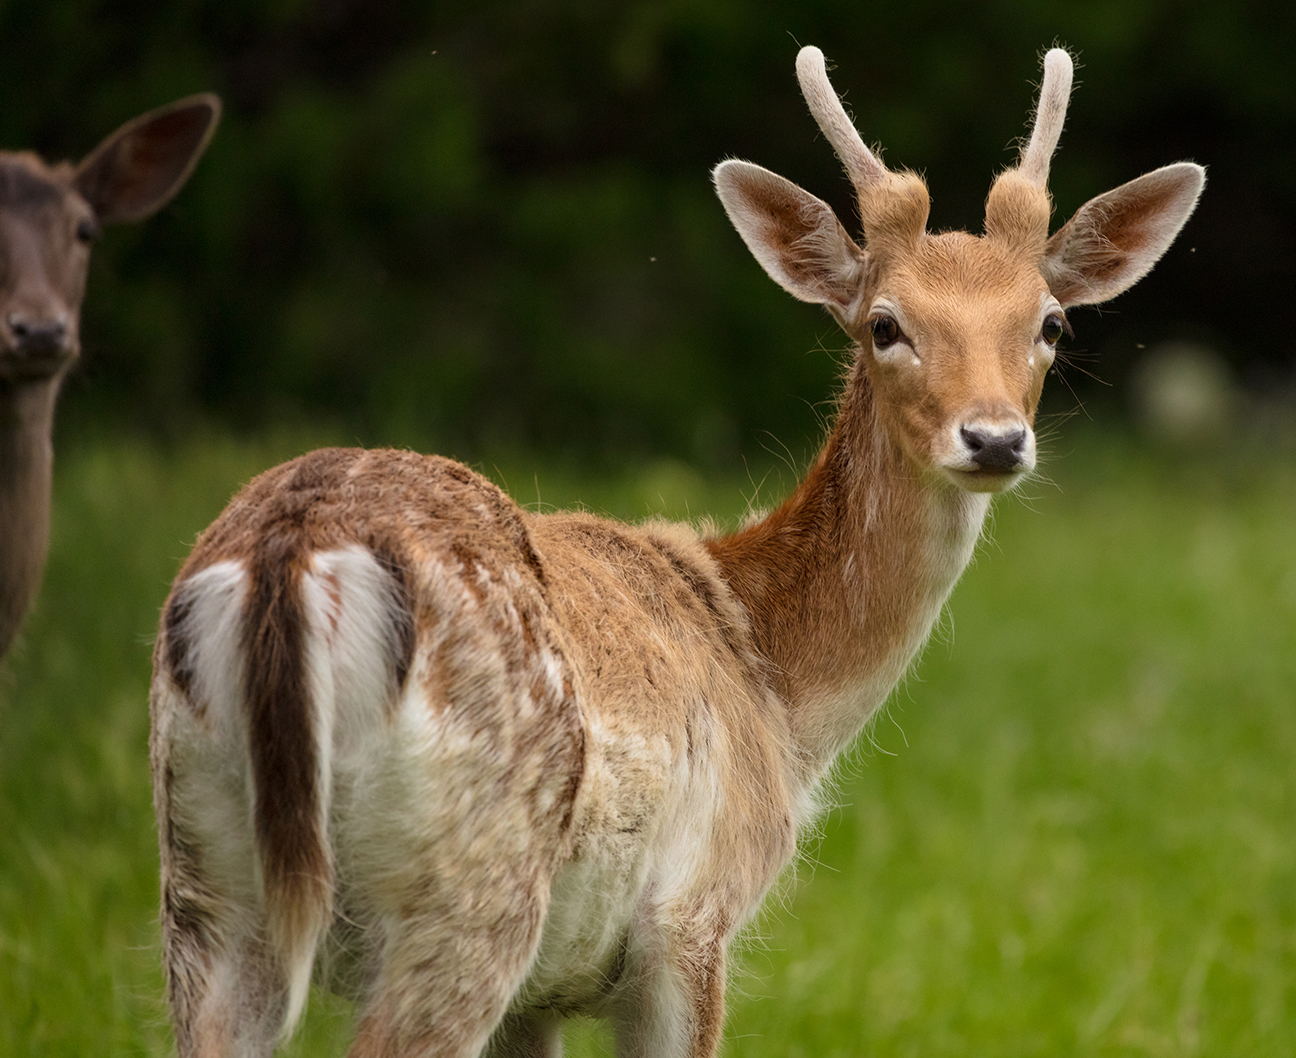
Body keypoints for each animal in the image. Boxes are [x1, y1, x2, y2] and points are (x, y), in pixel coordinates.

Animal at [149, 45, 1202, 1057]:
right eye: (885, 325)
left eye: (1051, 323)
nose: (992, 439)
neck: (772, 683)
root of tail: (291, 559)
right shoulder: (690, 922)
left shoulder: (541, 995)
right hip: (472, 887)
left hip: (204, 882)